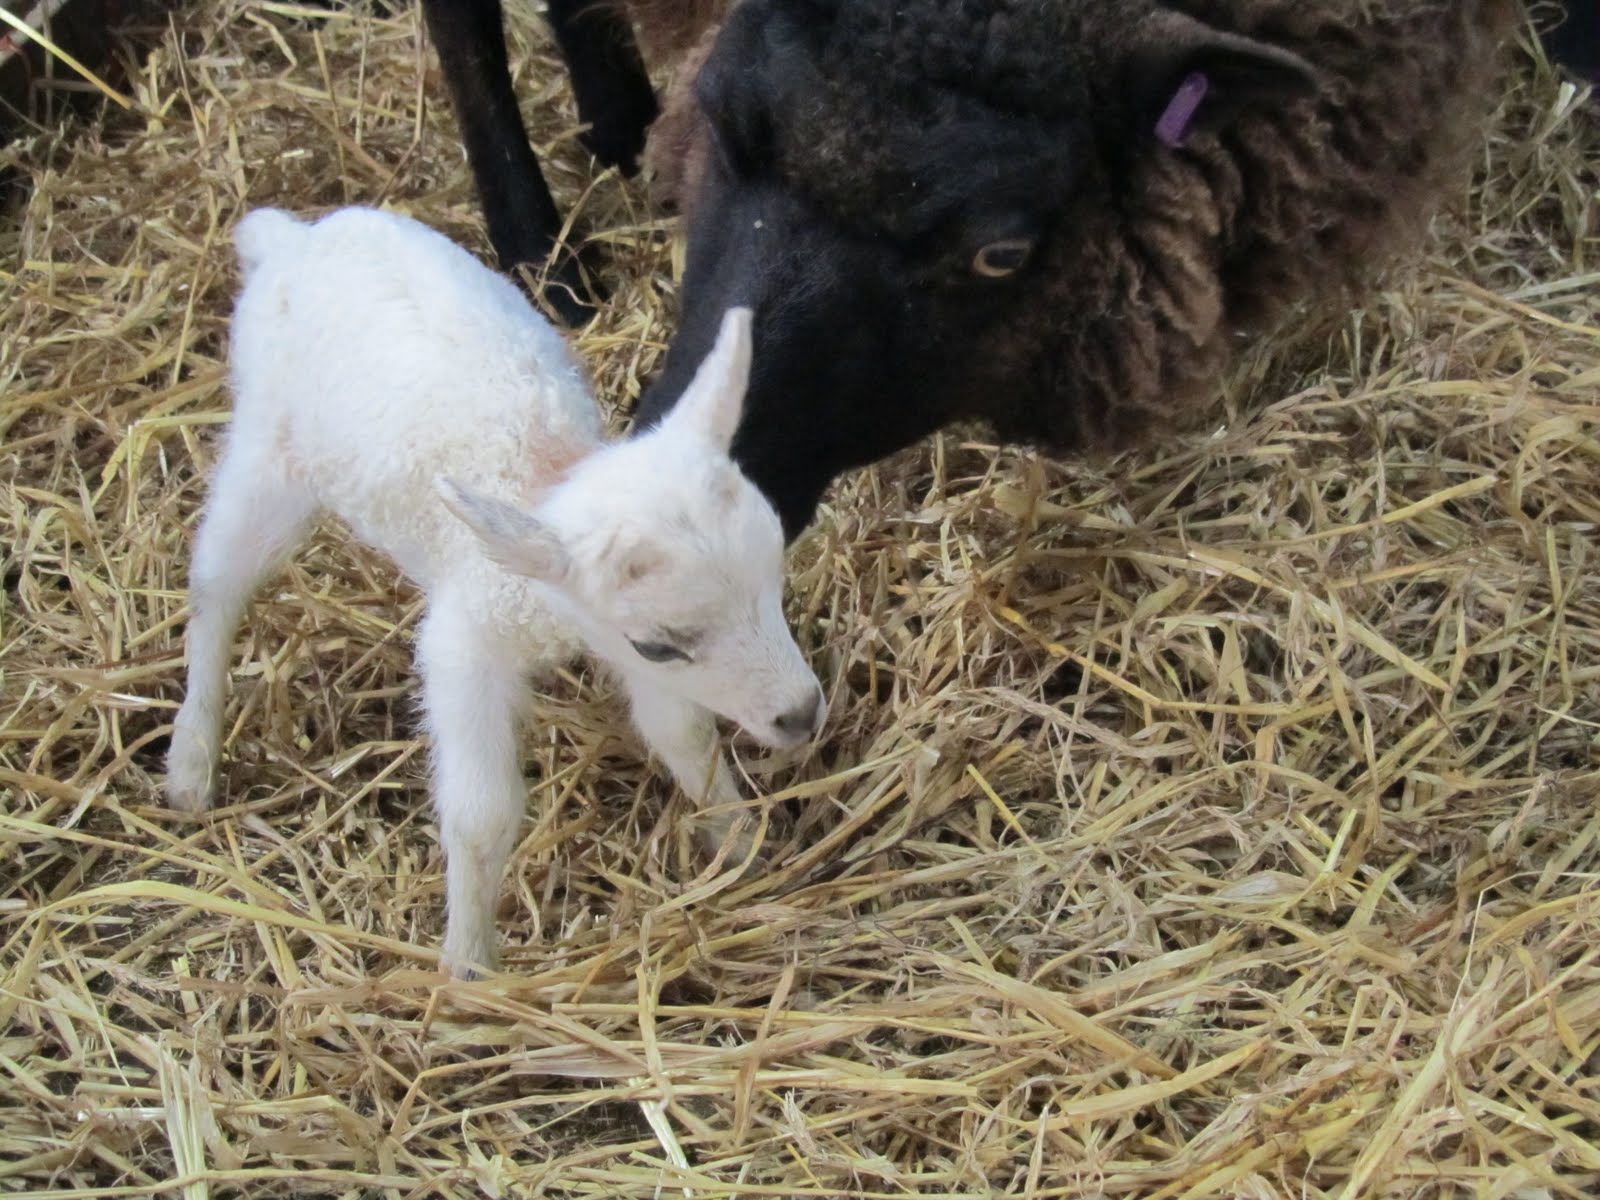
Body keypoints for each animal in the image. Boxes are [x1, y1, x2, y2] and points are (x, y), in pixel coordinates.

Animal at [164, 205, 826, 976]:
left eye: (776, 574)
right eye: (659, 645)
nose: (801, 714)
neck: (541, 475)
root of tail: (290, 237)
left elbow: (683, 735)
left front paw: (739, 837)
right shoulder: (470, 643)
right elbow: (482, 816)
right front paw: (468, 963)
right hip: (269, 451)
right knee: (217, 584)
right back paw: (192, 757)